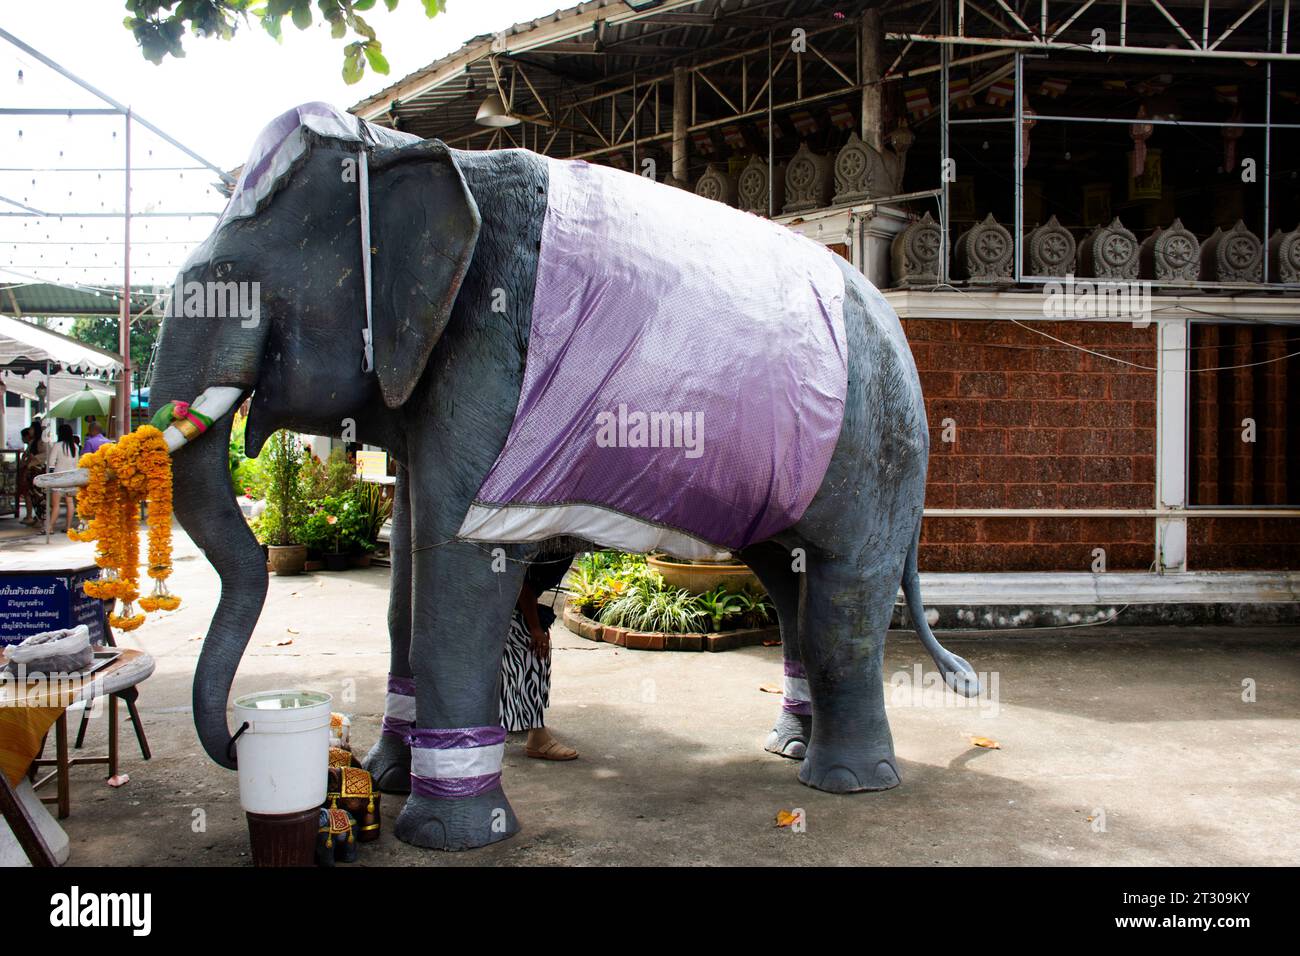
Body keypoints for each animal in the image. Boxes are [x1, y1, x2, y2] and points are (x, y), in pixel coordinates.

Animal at [129, 102, 982, 852]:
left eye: (240, 275)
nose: (249, 735)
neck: (407, 147)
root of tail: (899, 328)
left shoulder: (489, 351)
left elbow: (458, 568)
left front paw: (448, 836)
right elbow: (405, 570)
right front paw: (385, 777)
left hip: (879, 448)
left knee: (845, 593)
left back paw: (847, 783)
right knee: (788, 580)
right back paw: (788, 748)